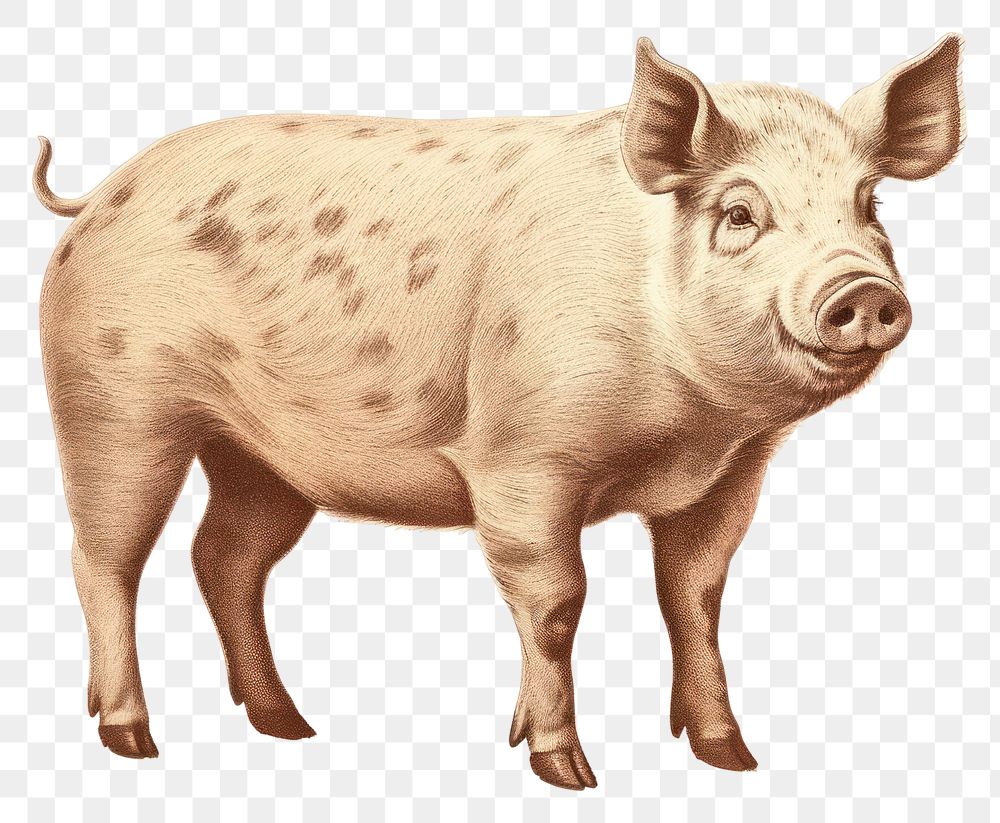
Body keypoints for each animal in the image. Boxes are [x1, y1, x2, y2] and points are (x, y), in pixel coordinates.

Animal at [33, 34, 964, 790]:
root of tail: (100, 195)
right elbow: (557, 602)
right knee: (103, 559)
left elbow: (695, 596)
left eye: (870, 207)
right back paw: (134, 738)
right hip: (112, 408)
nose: (864, 289)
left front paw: (732, 756)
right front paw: (566, 770)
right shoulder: (522, 458)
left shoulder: (733, 473)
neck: (688, 426)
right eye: (740, 212)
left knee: (223, 557)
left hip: (262, 454)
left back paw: (288, 724)